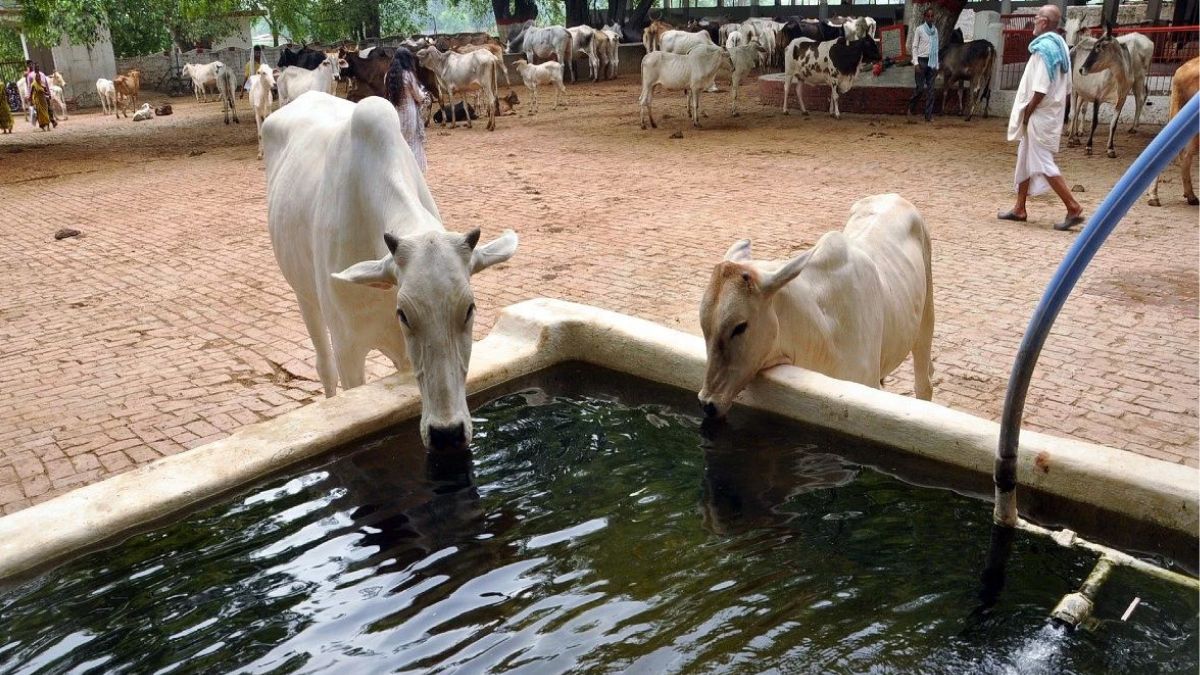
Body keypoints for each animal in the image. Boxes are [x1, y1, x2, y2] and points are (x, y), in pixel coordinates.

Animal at [261, 91, 519, 451]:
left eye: (469, 309)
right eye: (405, 314)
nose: (447, 434)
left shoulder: (404, 354)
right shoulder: (349, 349)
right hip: (304, 297)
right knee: (323, 366)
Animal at [697, 193, 935, 419]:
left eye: (740, 327)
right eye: (704, 328)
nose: (707, 403)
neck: (821, 332)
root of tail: (894, 196)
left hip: (925, 320)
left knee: (925, 382)